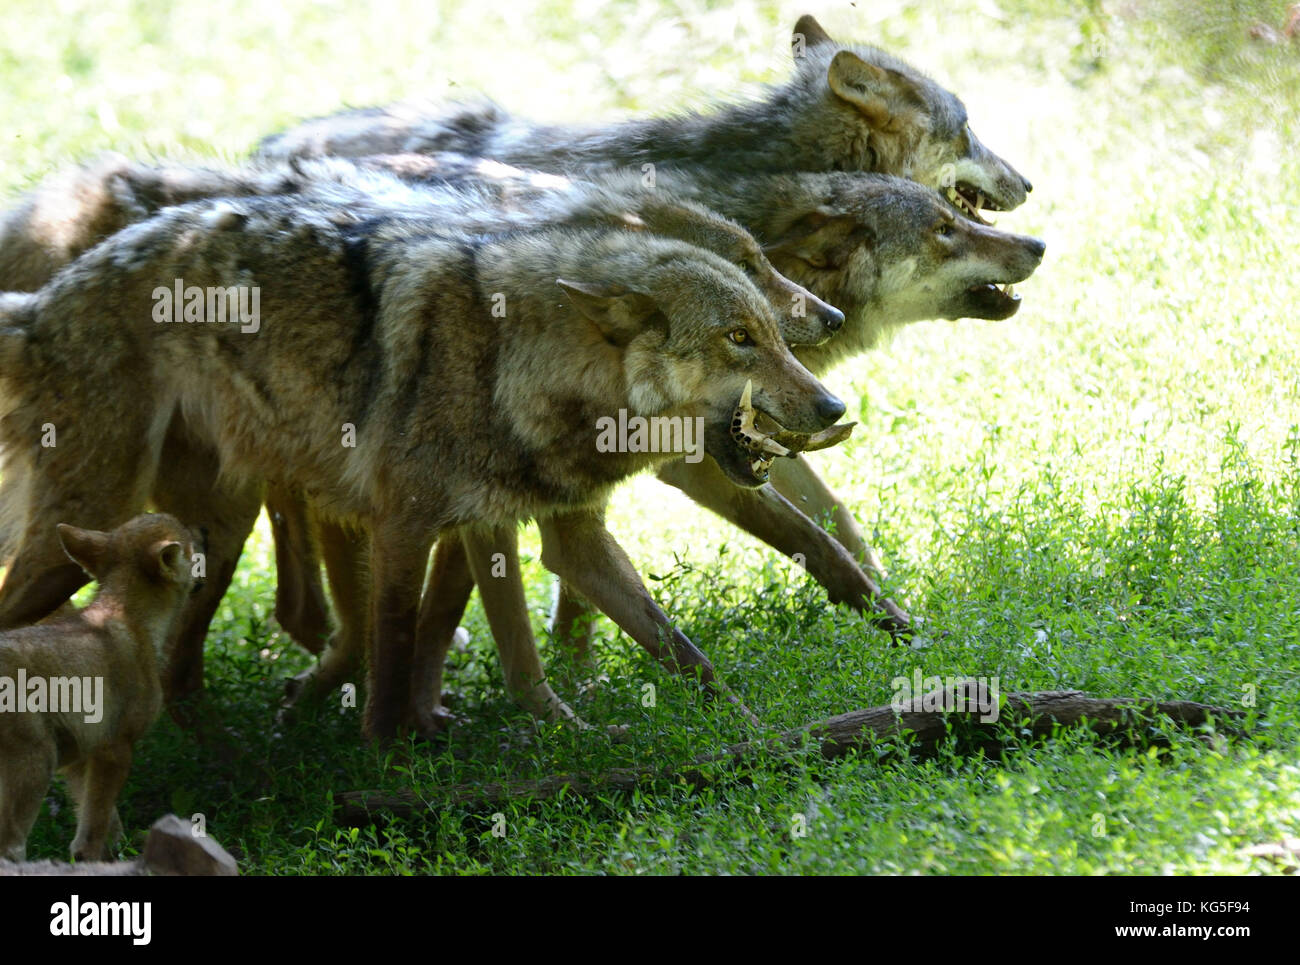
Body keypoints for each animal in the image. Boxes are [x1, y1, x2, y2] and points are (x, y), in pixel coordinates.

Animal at [0, 155, 846, 716]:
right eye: (740, 335)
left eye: (771, 325)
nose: (835, 402)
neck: (522, 360)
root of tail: (43, 305)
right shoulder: (416, 520)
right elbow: (411, 643)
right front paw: (401, 755)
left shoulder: (544, 527)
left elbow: (677, 643)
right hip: (89, 527)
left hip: (214, 528)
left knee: (205, 653)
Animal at [0, 514, 195, 862]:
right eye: (188, 541)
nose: (203, 531)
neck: (130, 618)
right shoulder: (115, 747)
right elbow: (93, 831)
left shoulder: (80, 756)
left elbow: (106, 822)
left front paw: (115, 854)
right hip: (36, 762)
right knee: (9, 844)